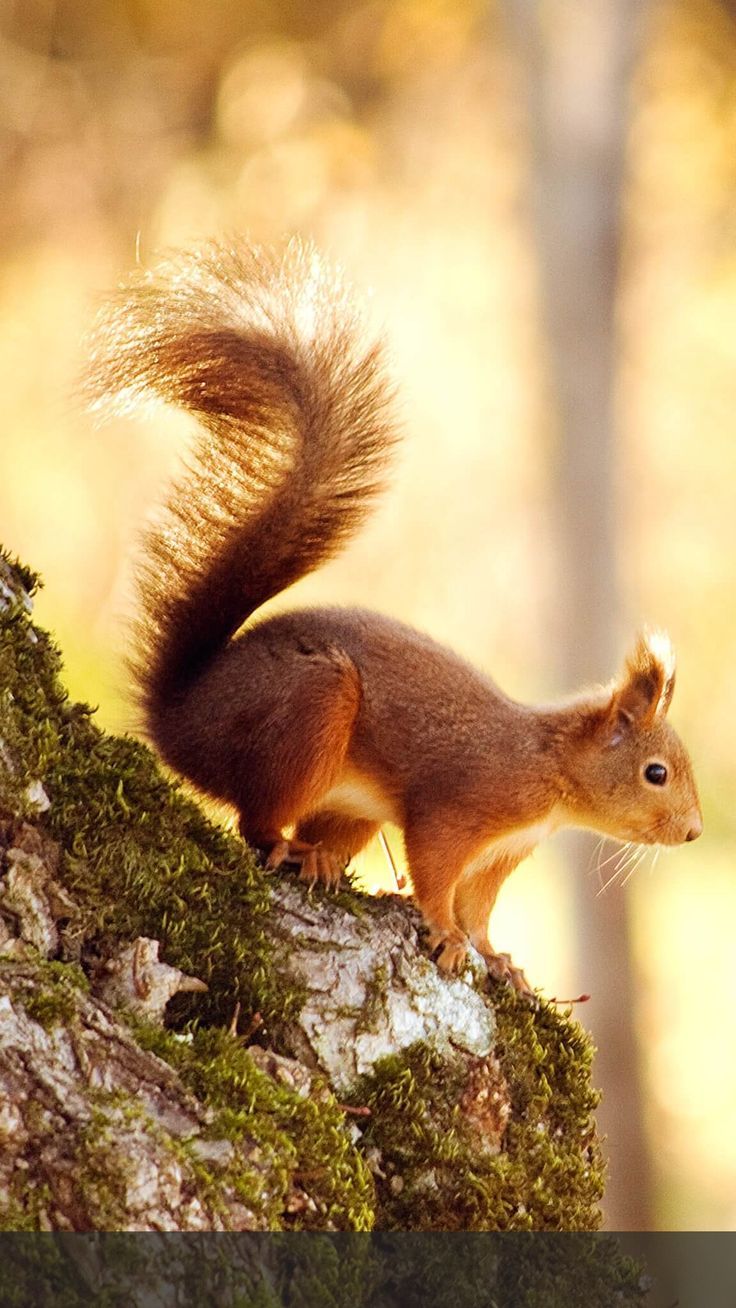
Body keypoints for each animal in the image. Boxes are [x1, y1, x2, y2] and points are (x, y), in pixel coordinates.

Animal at [88, 238, 703, 994]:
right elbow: (436, 871)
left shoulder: (504, 852)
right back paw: (292, 849)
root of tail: (178, 718)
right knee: (256, 823)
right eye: (656, 773)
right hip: (310, 712)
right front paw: (445, 936)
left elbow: (480, 905)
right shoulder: (463, 806)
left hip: (347, 799)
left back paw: (322, 857)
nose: (692, 832)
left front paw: (497, 957)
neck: (551, 771)